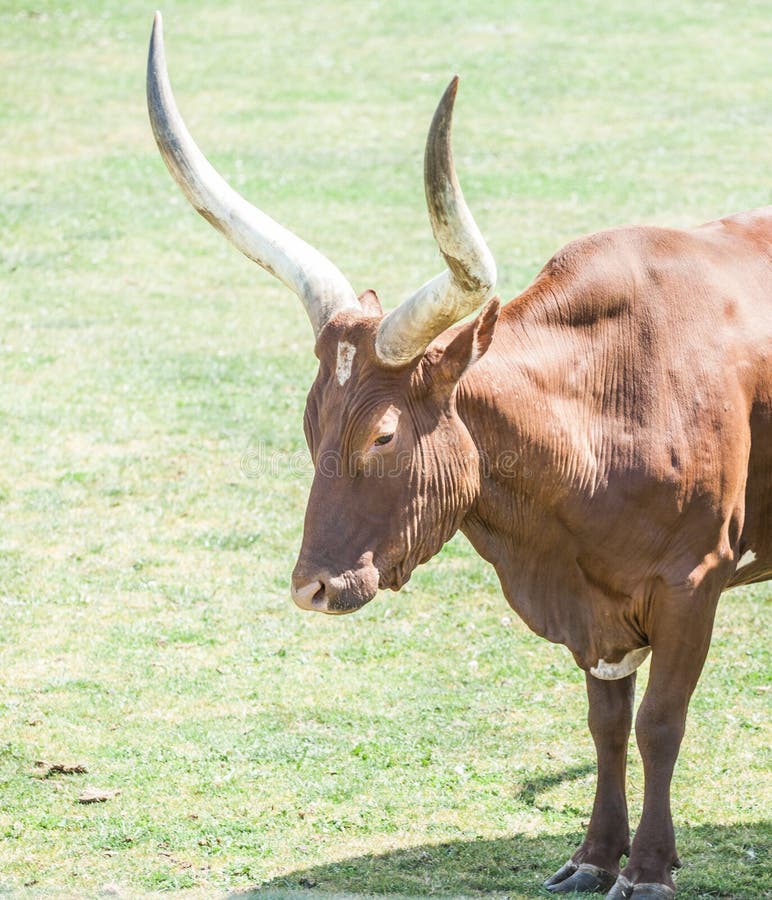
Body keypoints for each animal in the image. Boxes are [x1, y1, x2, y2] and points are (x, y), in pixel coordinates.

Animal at [147, 13, 771, 899]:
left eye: (382, 435)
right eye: (308, 422)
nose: (311, 588)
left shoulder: (693, 584)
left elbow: (659, 723)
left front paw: (648, 868)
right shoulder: (598, 612)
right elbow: (607, 723)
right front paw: (593, 854)